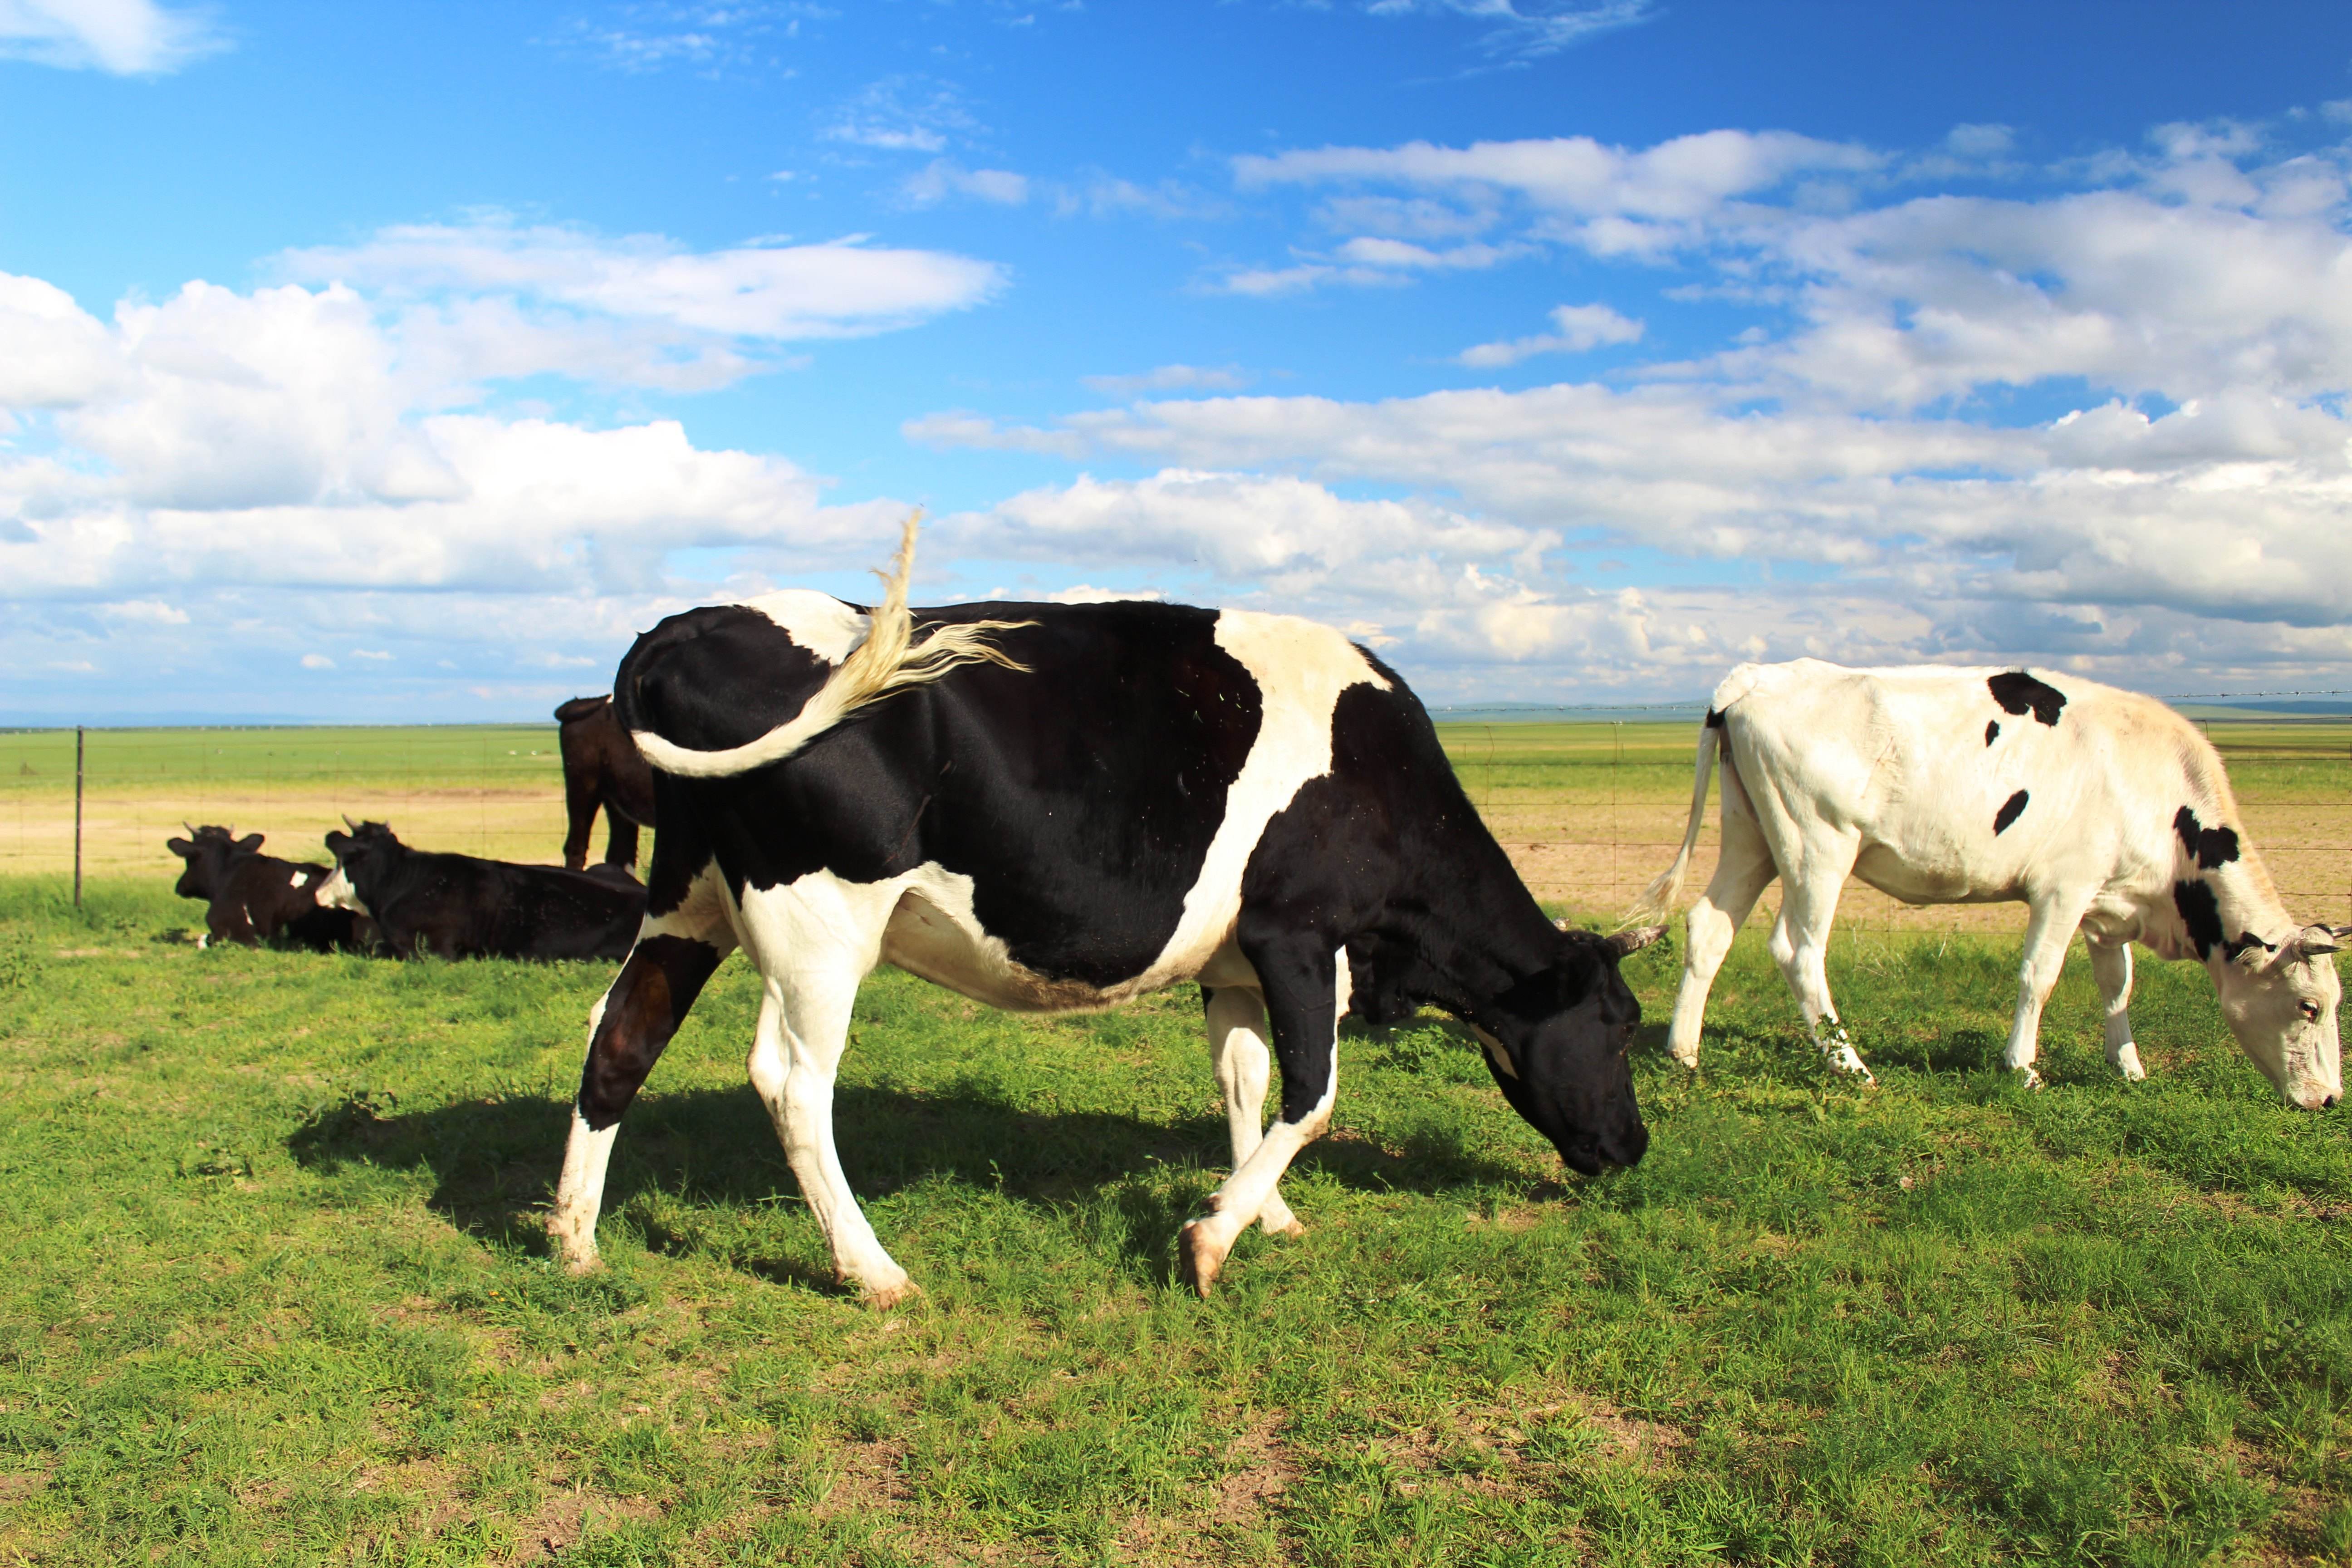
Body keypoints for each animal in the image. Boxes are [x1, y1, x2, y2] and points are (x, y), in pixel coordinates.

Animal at [1627, 659, 2345, 1107]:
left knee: (1710, 927)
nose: (2332, 1097)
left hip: (1752, 835)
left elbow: (2117, 986)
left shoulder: (2108, 903)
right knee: (1797, 950)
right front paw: (2022, 1067)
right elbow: (2040, 975)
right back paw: (1850, 1065)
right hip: (1817, 845)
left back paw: (1684, 1052)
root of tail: (1757, 676)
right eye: (2309, 1006)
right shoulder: (2063, 889)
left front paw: (2129, 1068)